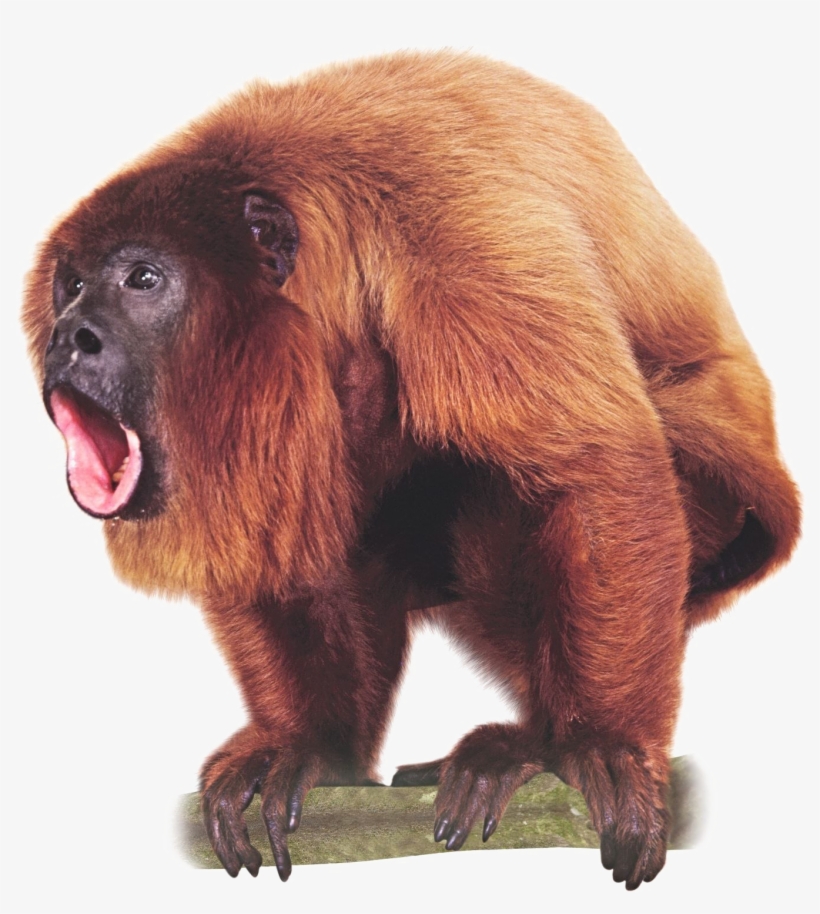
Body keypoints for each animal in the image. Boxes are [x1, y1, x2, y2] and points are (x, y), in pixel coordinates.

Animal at [22, 51, 800, 890]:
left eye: (142, 279)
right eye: (71, 286)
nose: (71, 335)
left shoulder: (460, 248)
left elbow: (595, 469)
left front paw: (601, 743)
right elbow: (268, 546)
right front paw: (307, 745)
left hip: (714, 520)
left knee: (496, 491)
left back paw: (527, 747)